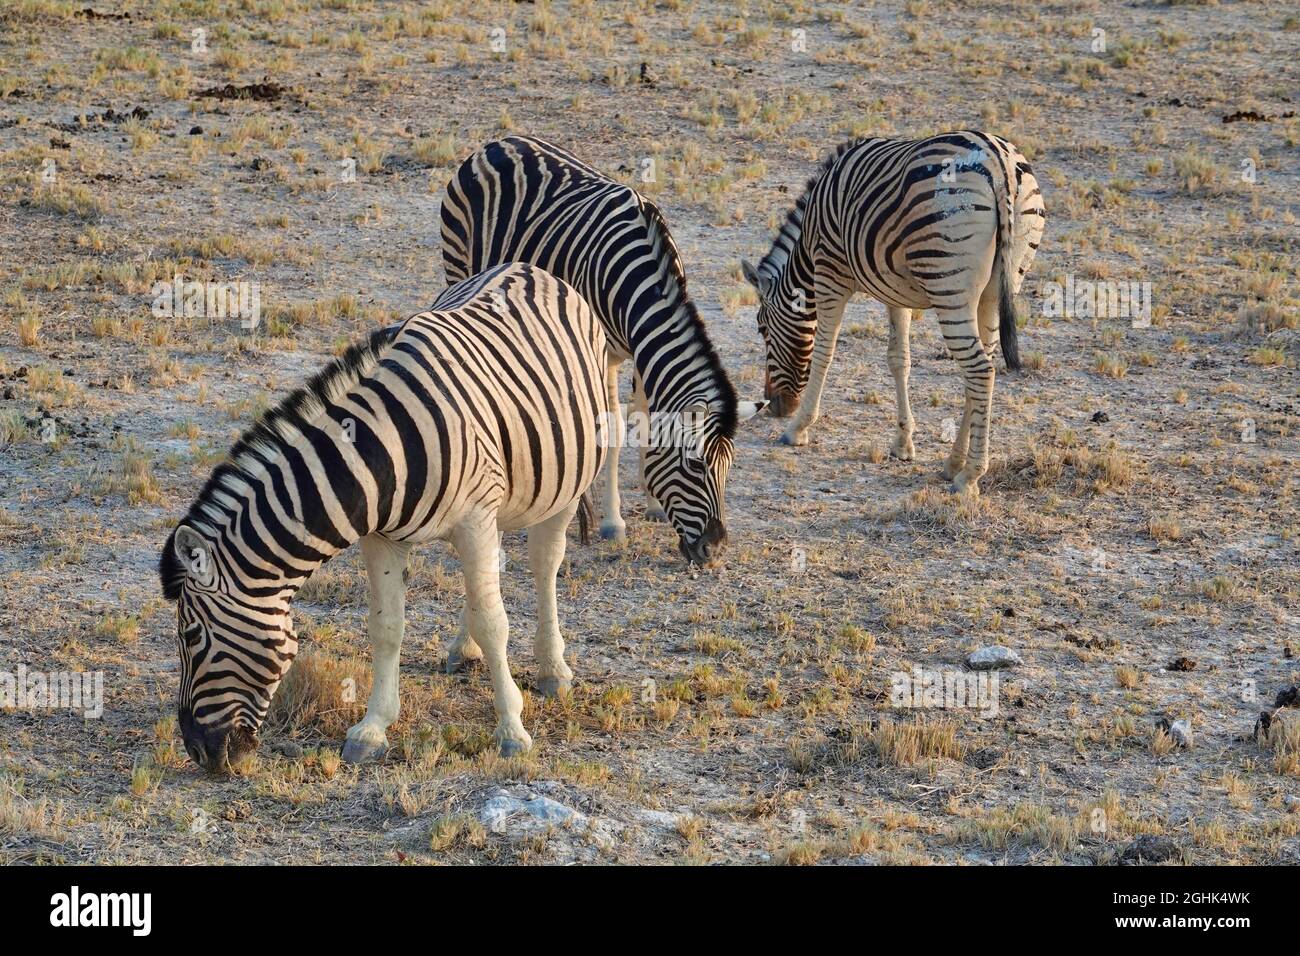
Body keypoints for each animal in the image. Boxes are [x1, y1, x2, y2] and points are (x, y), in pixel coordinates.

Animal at [159, 263, 609, 770]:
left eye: (191, 636)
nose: (197, 751)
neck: (379, 450)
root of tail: (523, 267)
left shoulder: (474, 518)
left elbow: (495, 623)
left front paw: (512, 730)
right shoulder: (382, 536)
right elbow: (386, 626)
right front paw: (372, 729)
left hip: (565, 484)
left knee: (544, 564)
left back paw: (553, 670)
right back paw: (464, 649)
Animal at [440, 135, 766, 565]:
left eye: (728, 468)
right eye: (695, 466)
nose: (713, 552)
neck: (640, 280)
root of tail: (498, 142)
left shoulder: (643, 351)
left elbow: (645, 415)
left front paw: (653, 503)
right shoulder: (604, 351)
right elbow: (610, 426)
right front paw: (612, 522)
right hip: (459, 268)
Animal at [741, 131, 1045, 496]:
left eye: (762, 329)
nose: (774, 406)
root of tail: (1000, 163)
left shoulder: (830, 273)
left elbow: (824, 353)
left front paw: (798, 429)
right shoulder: (894, 291)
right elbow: (899, 360)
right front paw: (902, 443)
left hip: (949, 283)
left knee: (980, 370)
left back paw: (970, 476)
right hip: (1002, 281)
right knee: (982, 364)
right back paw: (953, 463)